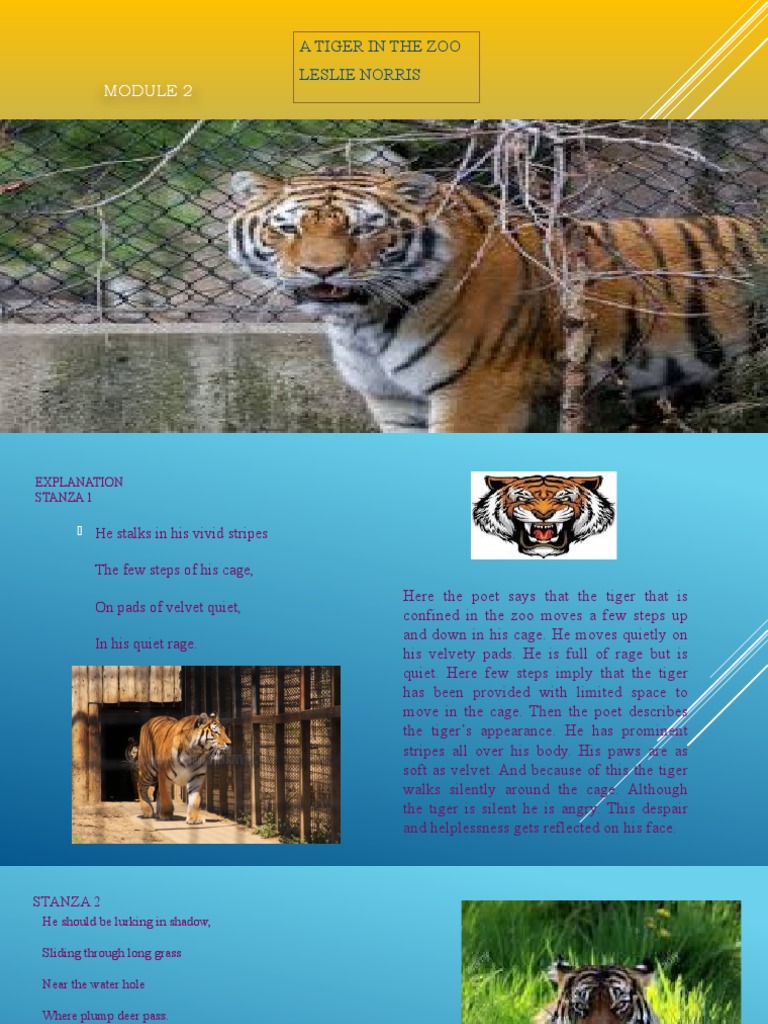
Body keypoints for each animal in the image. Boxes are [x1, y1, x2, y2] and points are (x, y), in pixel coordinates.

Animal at [228, 169, 764, 433]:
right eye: (288, 228)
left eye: (364, 229)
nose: (322, 270)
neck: (362, 325)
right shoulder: (394, 402)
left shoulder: (480, 392)